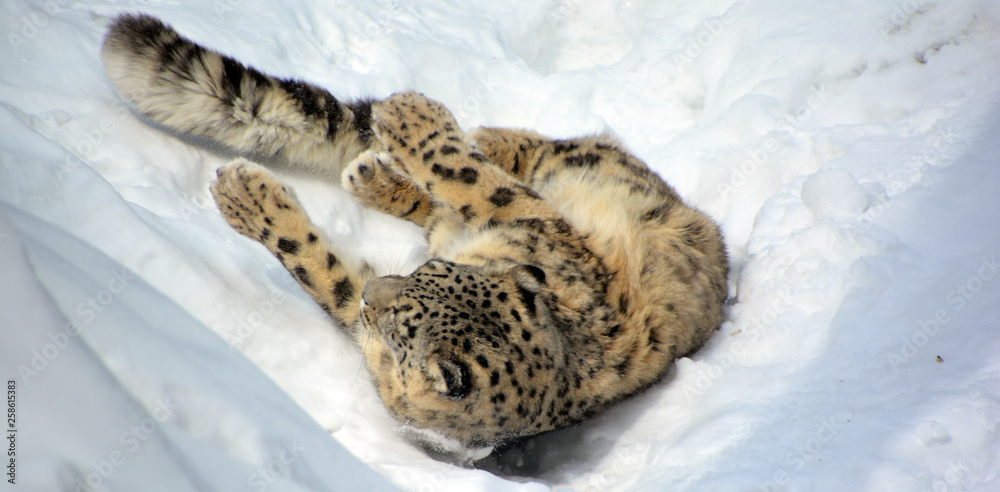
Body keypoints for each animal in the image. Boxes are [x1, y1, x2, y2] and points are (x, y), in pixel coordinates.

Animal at [101, 13, 729, 448]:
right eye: (431, 273)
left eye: (401, 327)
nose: (376, 299)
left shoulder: (534, 222)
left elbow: (460, 187)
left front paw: (246, 196)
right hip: (546, 153)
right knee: (486, 151)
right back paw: (378, 166)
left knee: (469, 170)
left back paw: (389, 146)